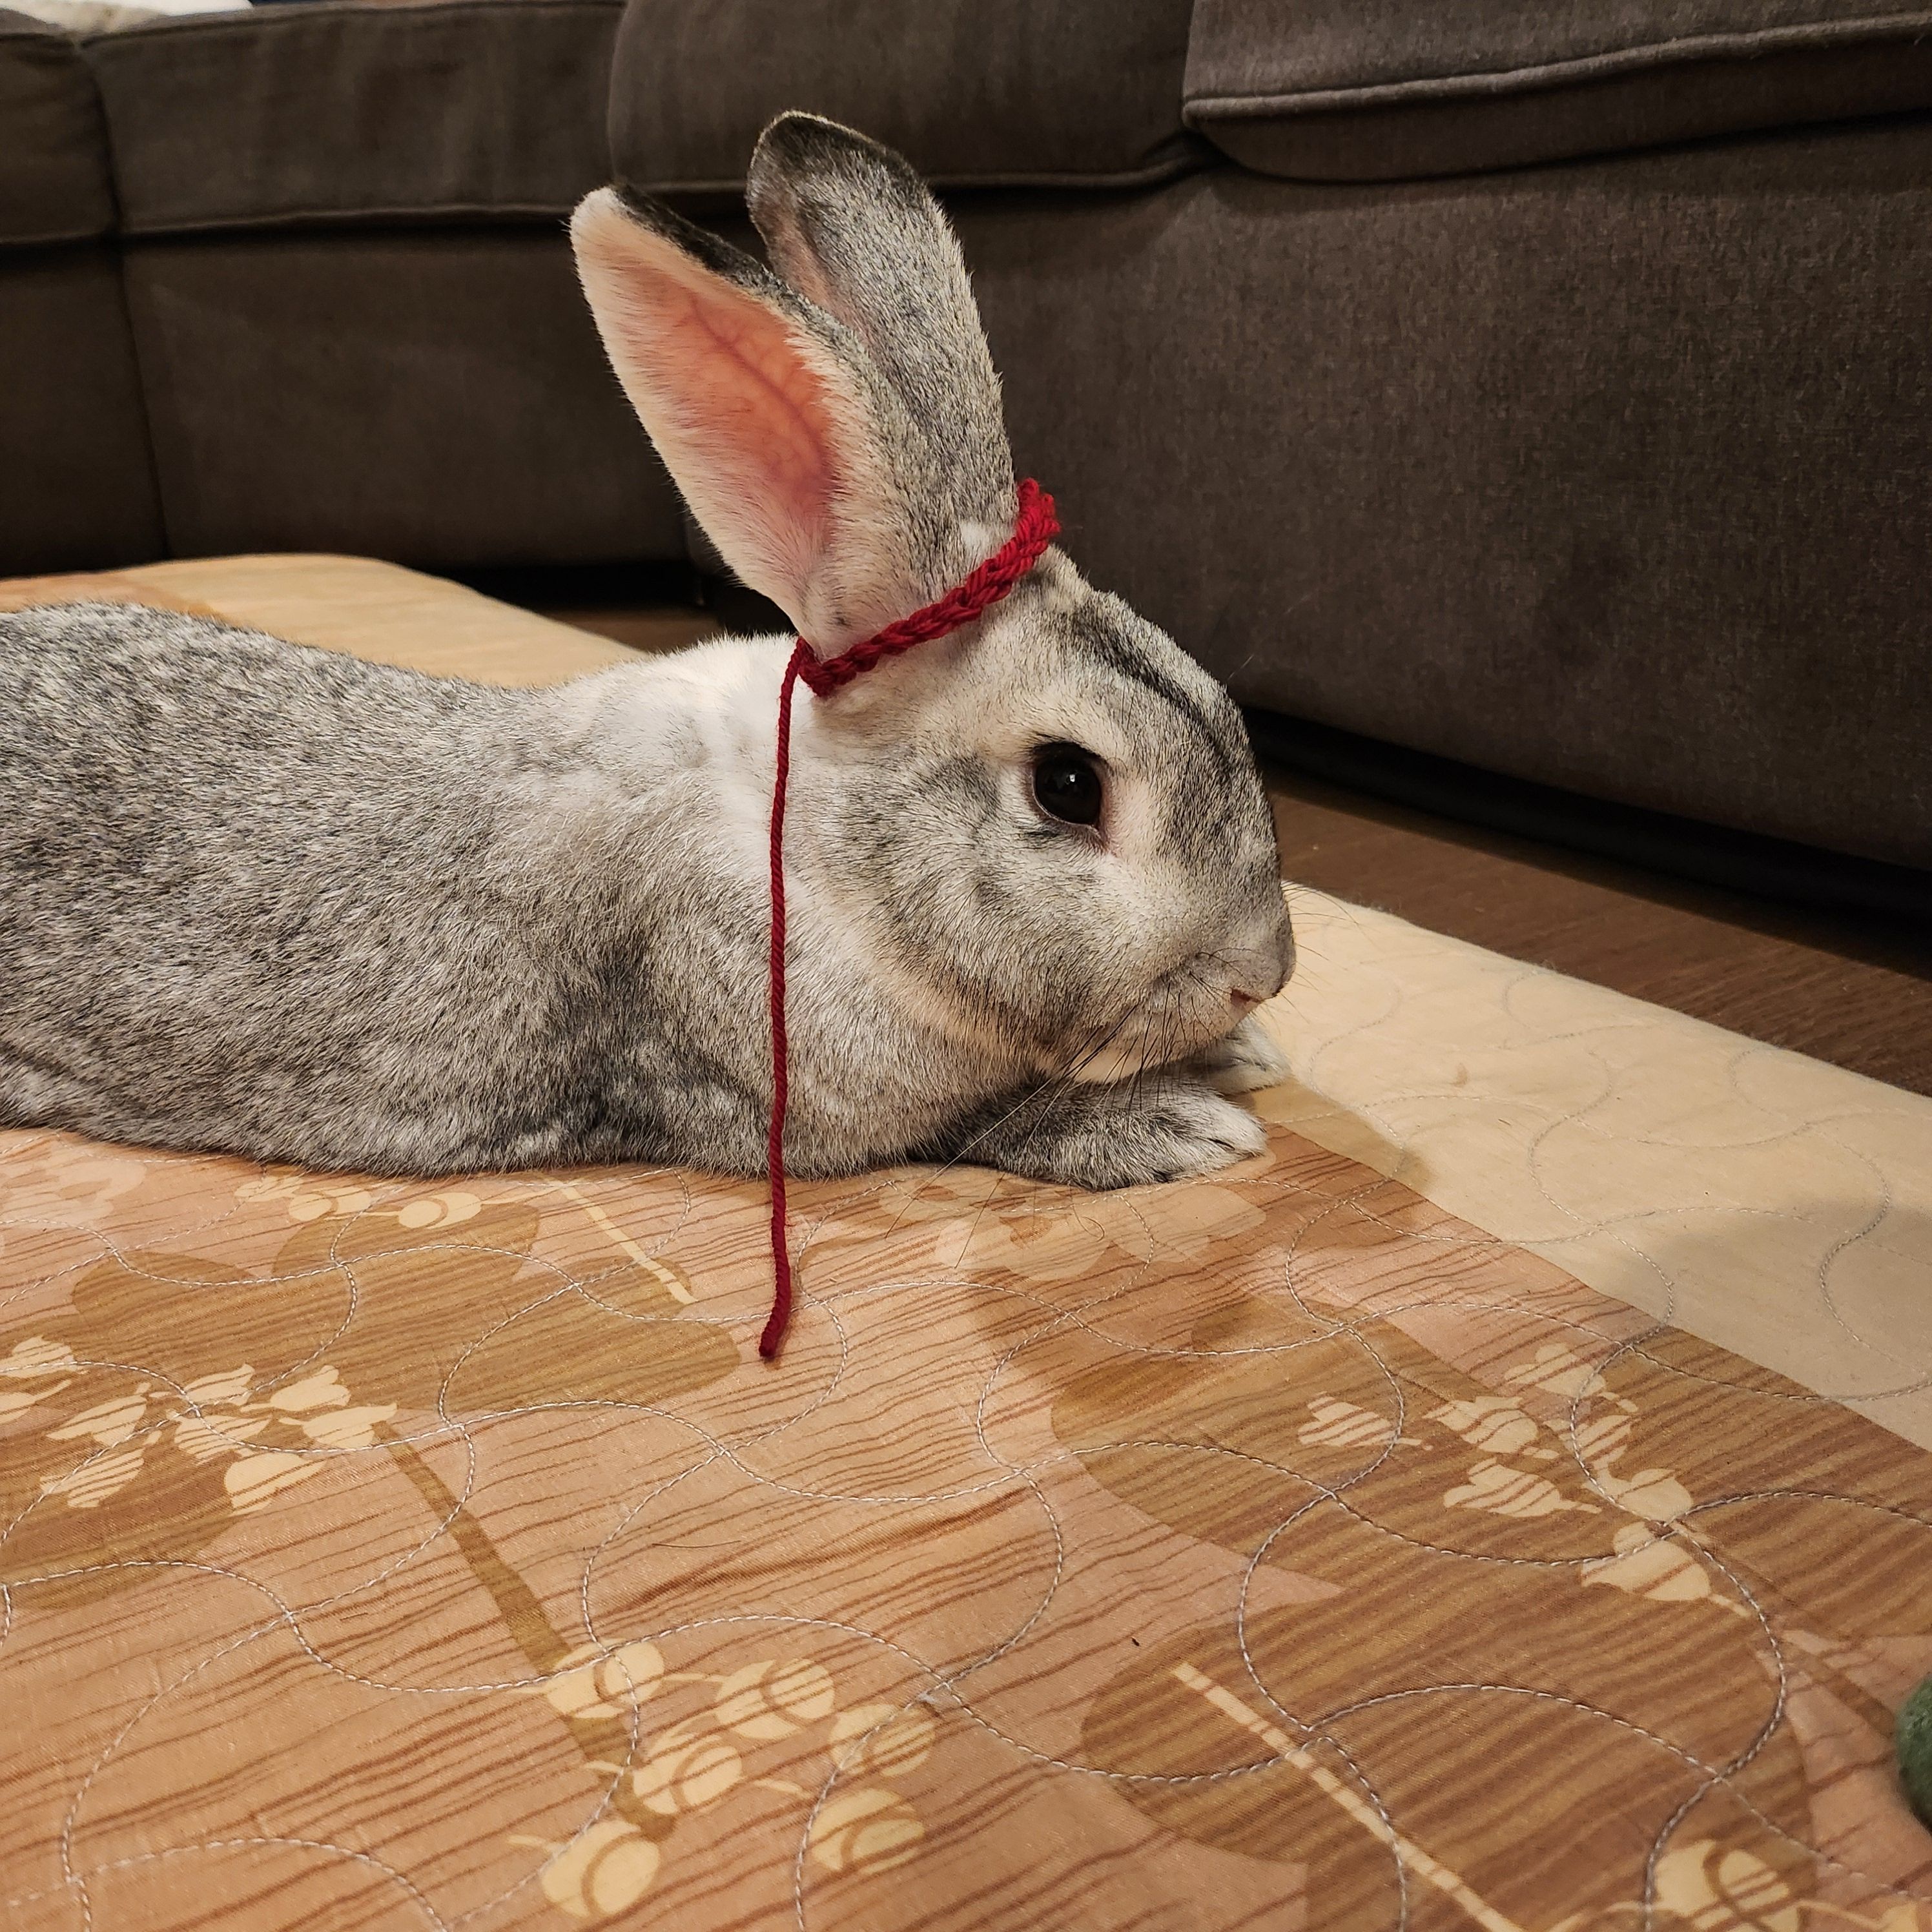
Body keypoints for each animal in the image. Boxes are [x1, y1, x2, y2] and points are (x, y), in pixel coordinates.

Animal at [0, 112, 1293, 1191]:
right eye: (1068, 786)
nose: (1264, 970)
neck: (813, 837)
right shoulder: (788, 1104)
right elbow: (981, 1129)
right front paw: (1177, 1122)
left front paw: (1243, 1048)